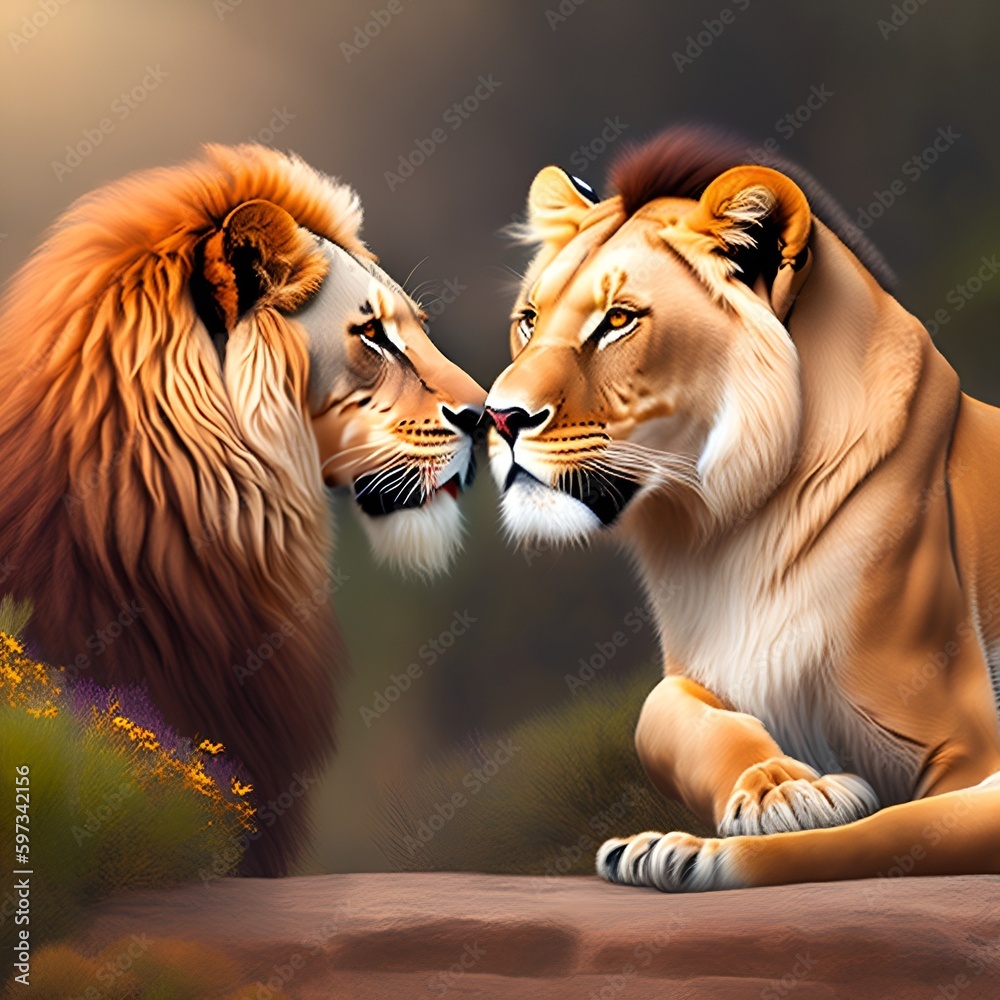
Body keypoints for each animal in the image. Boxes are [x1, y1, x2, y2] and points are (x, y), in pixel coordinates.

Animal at [485, 126, 1000, 891]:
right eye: (527, 321)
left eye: (618, 321)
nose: (495, 417)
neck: (720, 532)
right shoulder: (691, 678)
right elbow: (666, 710)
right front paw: (774, 786)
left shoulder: (971, 746)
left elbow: (881, 834)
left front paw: (725, 835)